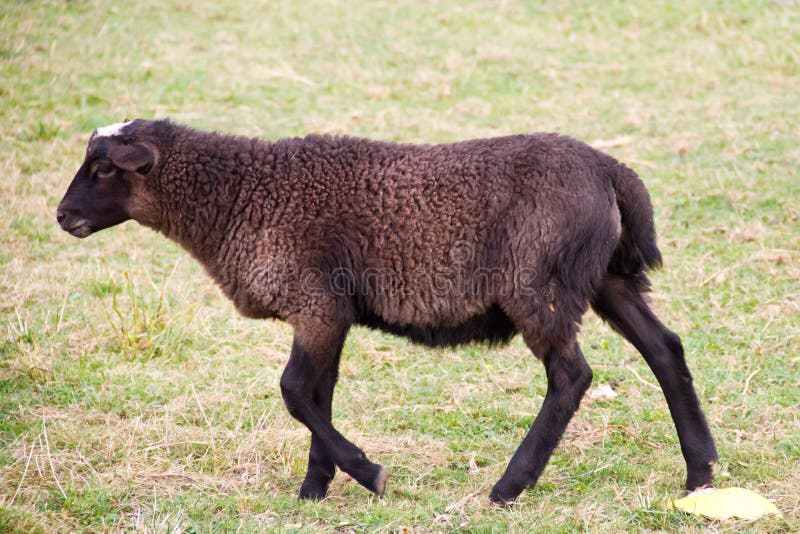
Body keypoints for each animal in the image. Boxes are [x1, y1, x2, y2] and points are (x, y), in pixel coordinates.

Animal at [56, 119, 718, 504]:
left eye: (105, 167)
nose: (63, 216)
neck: (241, 195)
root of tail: (611, 171)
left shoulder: (315, 302)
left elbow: (294, 392)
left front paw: (367, 474)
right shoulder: (328, 311)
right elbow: (318, 394)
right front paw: (315, 488)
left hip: (539, 285)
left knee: (571, 376)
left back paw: (509, 486)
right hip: (606, 278)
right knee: (664, 348)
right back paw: (701, 473)